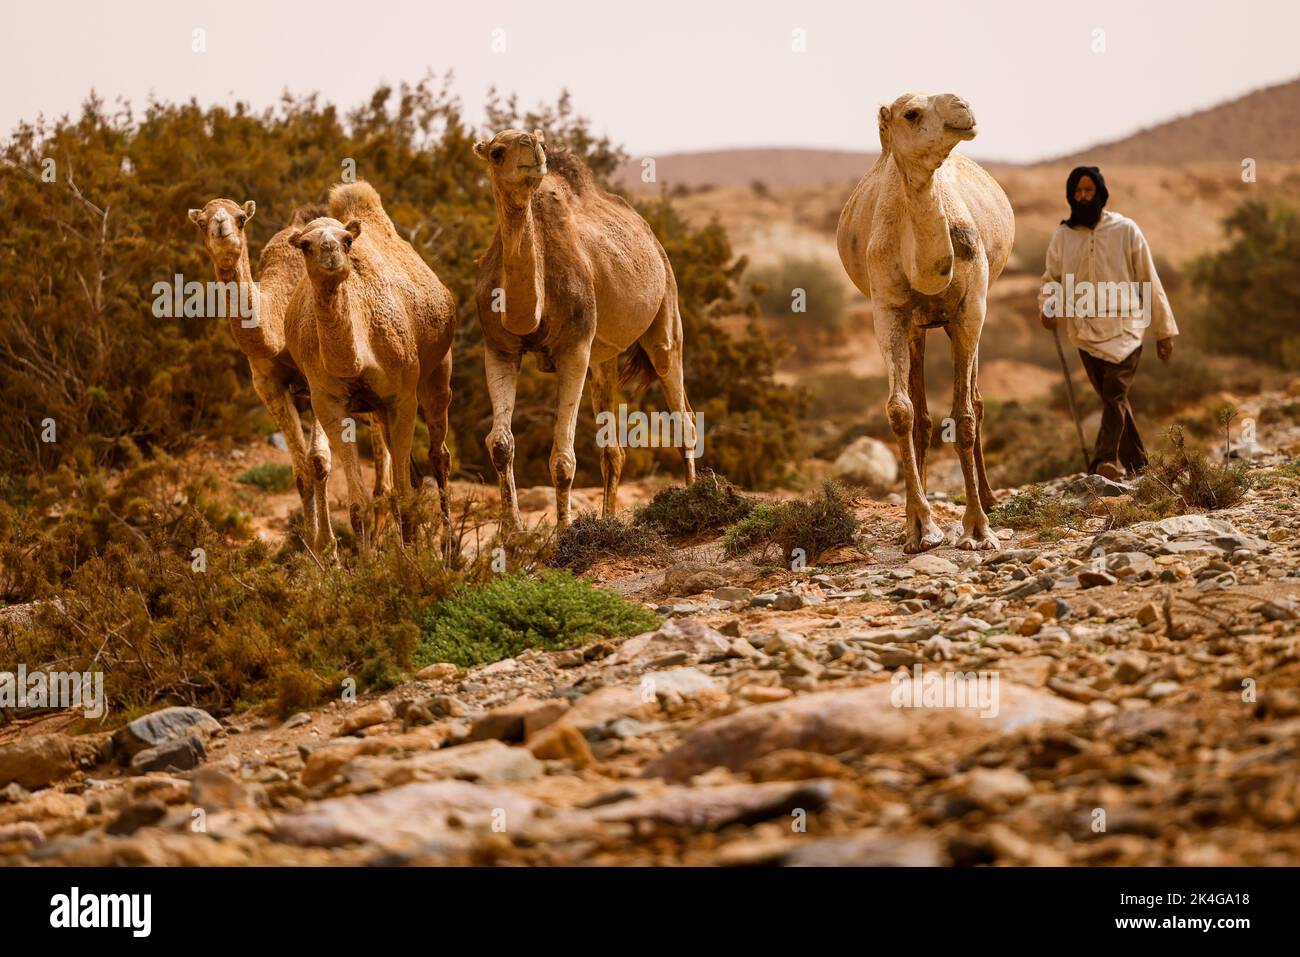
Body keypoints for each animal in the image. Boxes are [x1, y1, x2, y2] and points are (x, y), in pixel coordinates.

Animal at [188, 198, 395, 555]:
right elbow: (300, 471)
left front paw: (329, 550)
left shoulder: (316, 385)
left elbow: (319, 462)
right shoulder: (267, 385)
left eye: (241, 219)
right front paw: (313, 551)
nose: (222, 229)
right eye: (202, 222)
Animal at [285, 181, 456, 550]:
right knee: (414, 475)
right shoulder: (329, 404)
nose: (330, 250)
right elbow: (359, 506)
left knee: (439, 457)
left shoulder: (402, 398)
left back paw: (448, 548)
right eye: (305, 245)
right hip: (378, 411)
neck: (357, 360)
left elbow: (402, 495)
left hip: (437, 374)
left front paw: (410, 562)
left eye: (347, 240)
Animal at [472, 128, 696, 531]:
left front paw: (564, 531)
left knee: (683, 414)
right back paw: (608, 520)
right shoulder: (499, 347)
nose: (533, 147)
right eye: (497, 152)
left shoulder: (573, 348)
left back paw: (695, 498)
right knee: (614, 449)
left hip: (666, 313)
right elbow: (499, 444)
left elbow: (563, 458)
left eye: (541, 144)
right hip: (603, 358)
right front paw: (511, 531)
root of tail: (650, 234)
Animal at [836, 93, 1014, 552]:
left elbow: (965, 416)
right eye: (911, 113)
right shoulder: (888, 311)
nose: (962, 107)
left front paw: (978, 529)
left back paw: (989, 498)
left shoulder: (971, 310)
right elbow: (901, 411)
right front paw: (919, 526)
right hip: (917, 326)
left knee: (978, 402)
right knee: (922, 416)